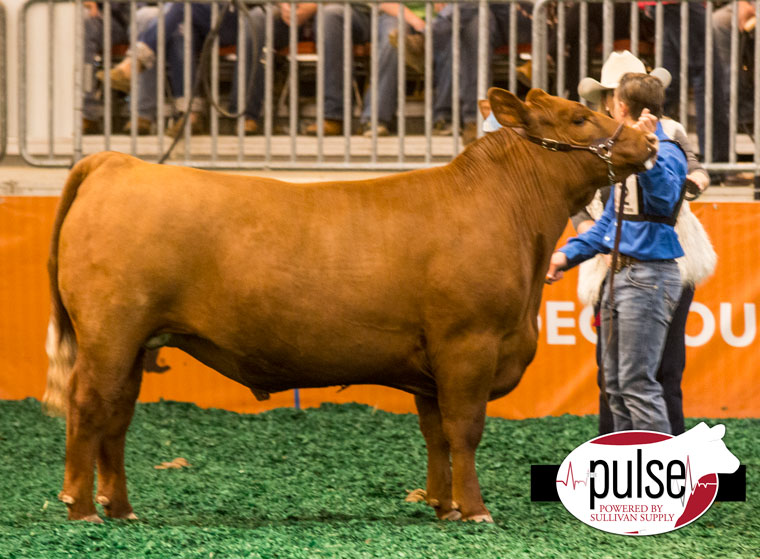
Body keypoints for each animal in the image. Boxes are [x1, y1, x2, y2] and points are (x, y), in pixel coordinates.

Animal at [44, 88, 657, 523]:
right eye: (578, 118)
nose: (648, 143)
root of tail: (116, 162)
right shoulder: (468, 344)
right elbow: (464, 429)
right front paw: (476, 510)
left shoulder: (431, 363)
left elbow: (435, 432)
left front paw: (442, 505)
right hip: (109, 332)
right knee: (88, 405)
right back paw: (81, 507)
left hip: (134, 343)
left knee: (118, 415)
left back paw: (122, 508)